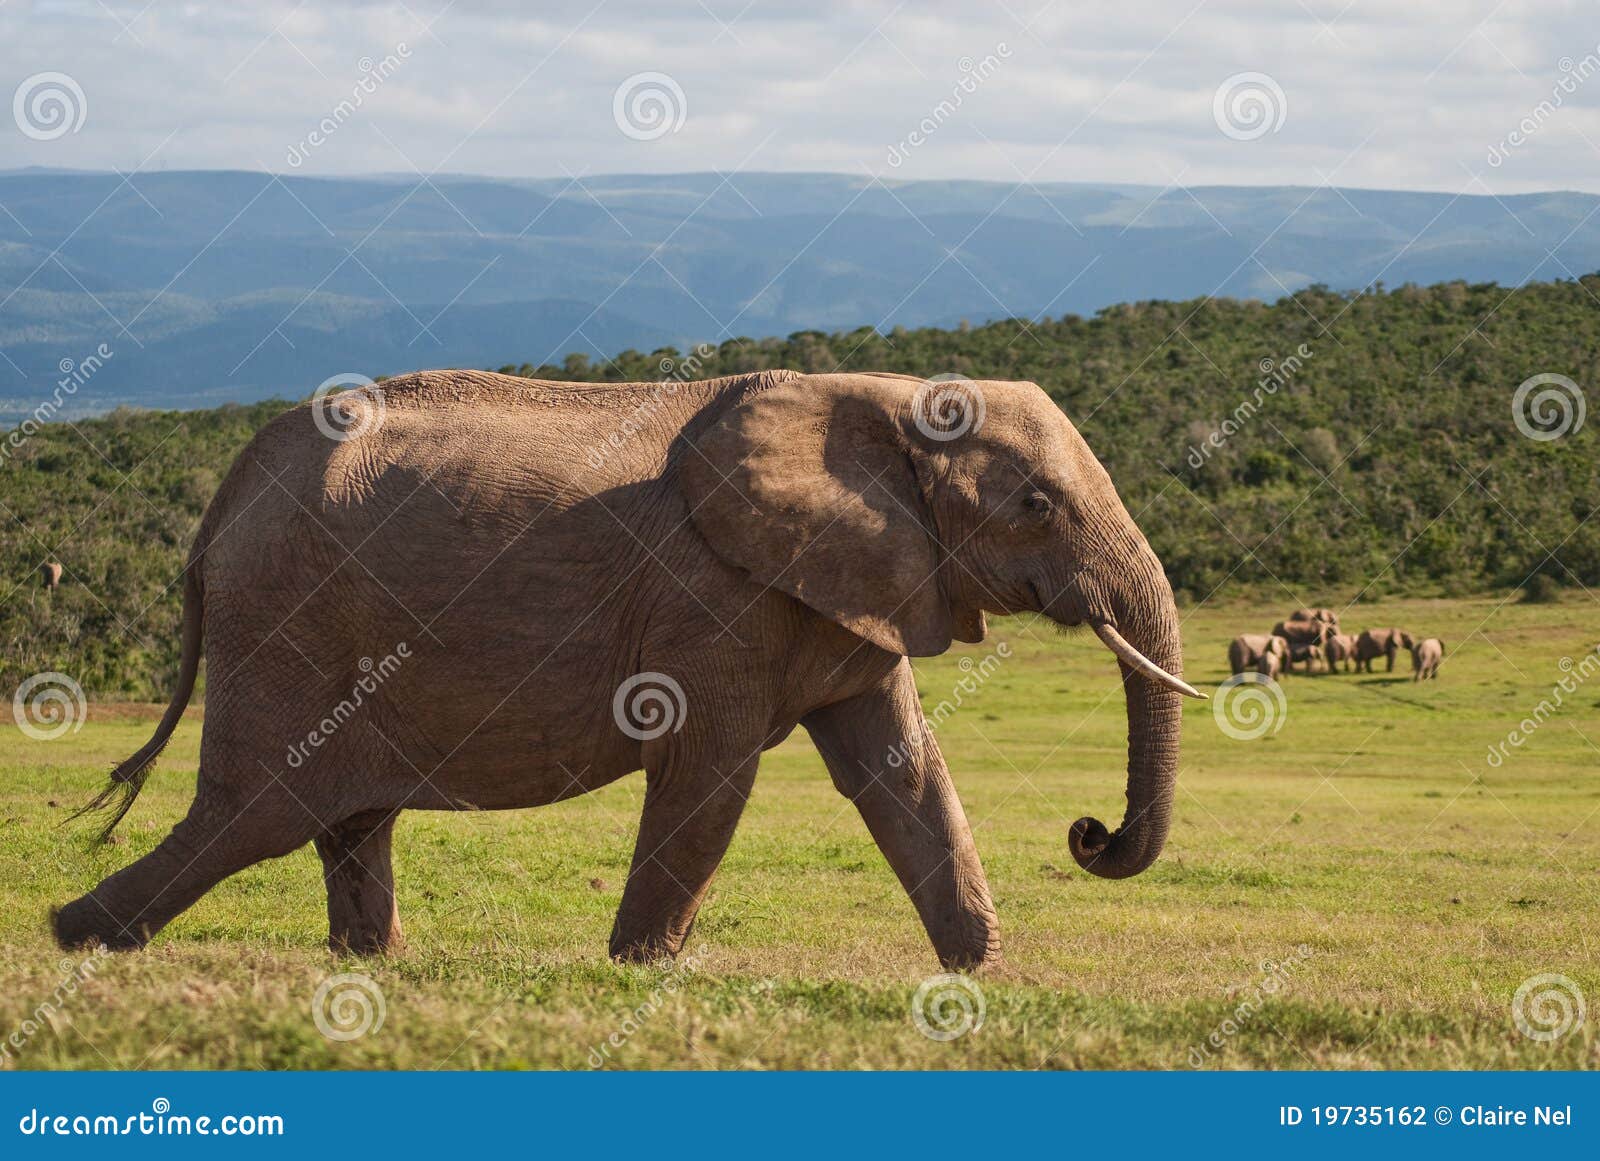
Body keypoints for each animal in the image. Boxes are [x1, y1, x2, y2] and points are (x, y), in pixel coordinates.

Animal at [54, 370, 1202, 970]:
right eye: (1037, 506)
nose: (1089, 832)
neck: (888, 400)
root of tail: (225, 496)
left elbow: (903, 771)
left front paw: (981, 976)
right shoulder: (712, 598)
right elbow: (710, 773)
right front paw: (637, 973)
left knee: (337, 818)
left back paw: (363, 962)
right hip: (285, 620)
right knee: (255, 813)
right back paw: (76, 937)